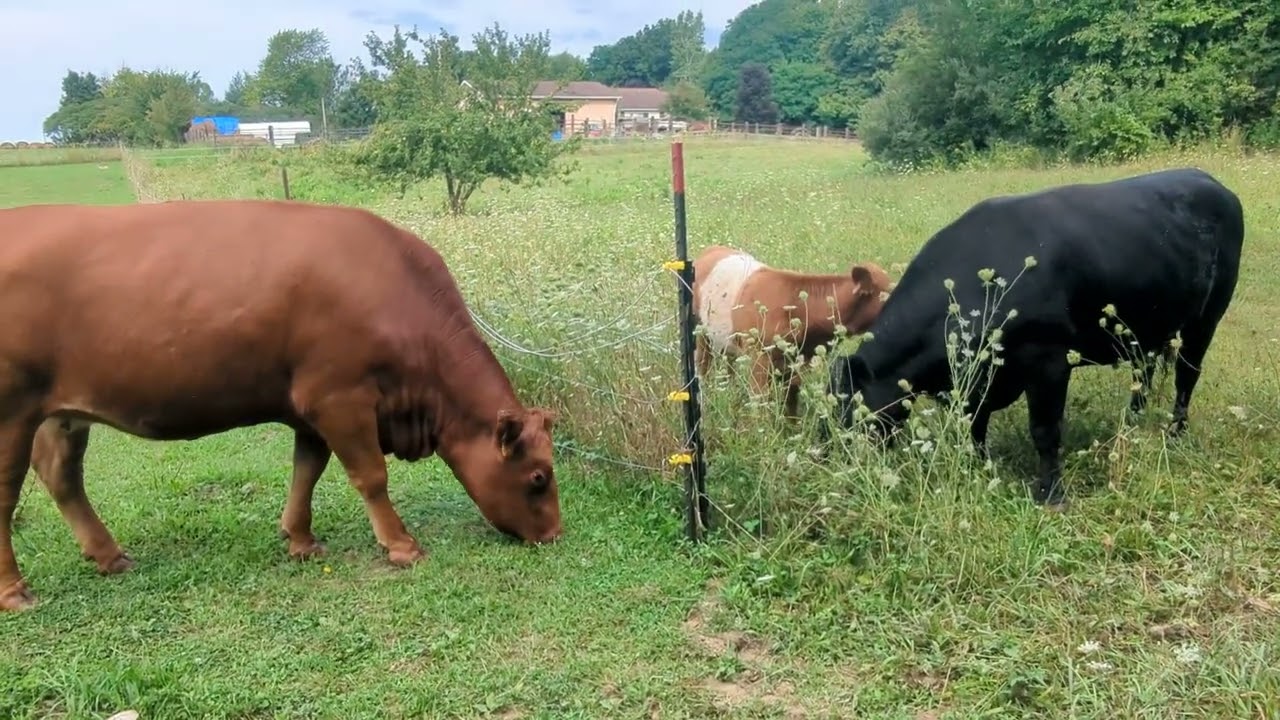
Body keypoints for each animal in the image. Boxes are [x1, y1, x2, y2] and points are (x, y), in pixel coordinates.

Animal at [0, 199, 563, 612]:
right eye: (539, 477)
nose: (555, 534)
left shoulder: (308, 407)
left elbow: (306, 470)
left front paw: (300, 539)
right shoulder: (339, 396)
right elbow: (370, 476)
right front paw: (401, 545)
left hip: (61, 414)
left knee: (61, 475)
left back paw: (109, 555)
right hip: (11, 411)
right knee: (8, 495)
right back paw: (15, 592)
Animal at [692, 244, 892, 418]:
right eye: (885, 294)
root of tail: (711, 250)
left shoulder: (796, 362)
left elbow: (791, 400)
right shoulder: (759, 358)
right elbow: (760, 400)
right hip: (701, 331)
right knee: (703, 366)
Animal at [822, 167, 1244, 509]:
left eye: (848, 412)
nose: (823, 460)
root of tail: (1209, 180)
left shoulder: (1048, 361)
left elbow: (1044, 429)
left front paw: (1051, 494)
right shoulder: (979, 380)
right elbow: (975, 426)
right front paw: (979, 468)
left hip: (1206, 318)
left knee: (1187, 376)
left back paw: (1174, 433)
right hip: (1145, 328)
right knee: (1143, 373)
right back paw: (1131, 423)